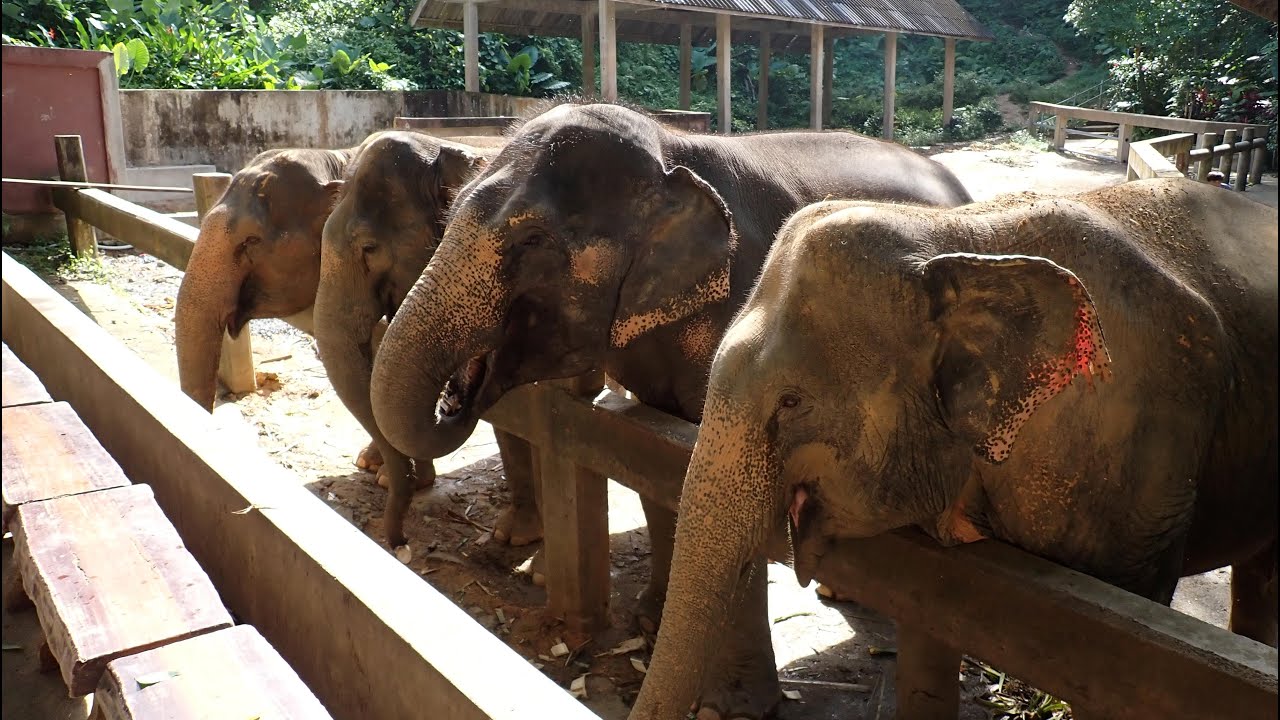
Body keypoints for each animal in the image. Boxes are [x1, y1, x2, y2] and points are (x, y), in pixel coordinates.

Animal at [369, 102, 973, 716]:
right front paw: (650, 622)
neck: (670, 147)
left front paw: (729, 706)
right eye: (448, 215)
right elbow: (659, 467)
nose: (396, 544)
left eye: (533, 239)